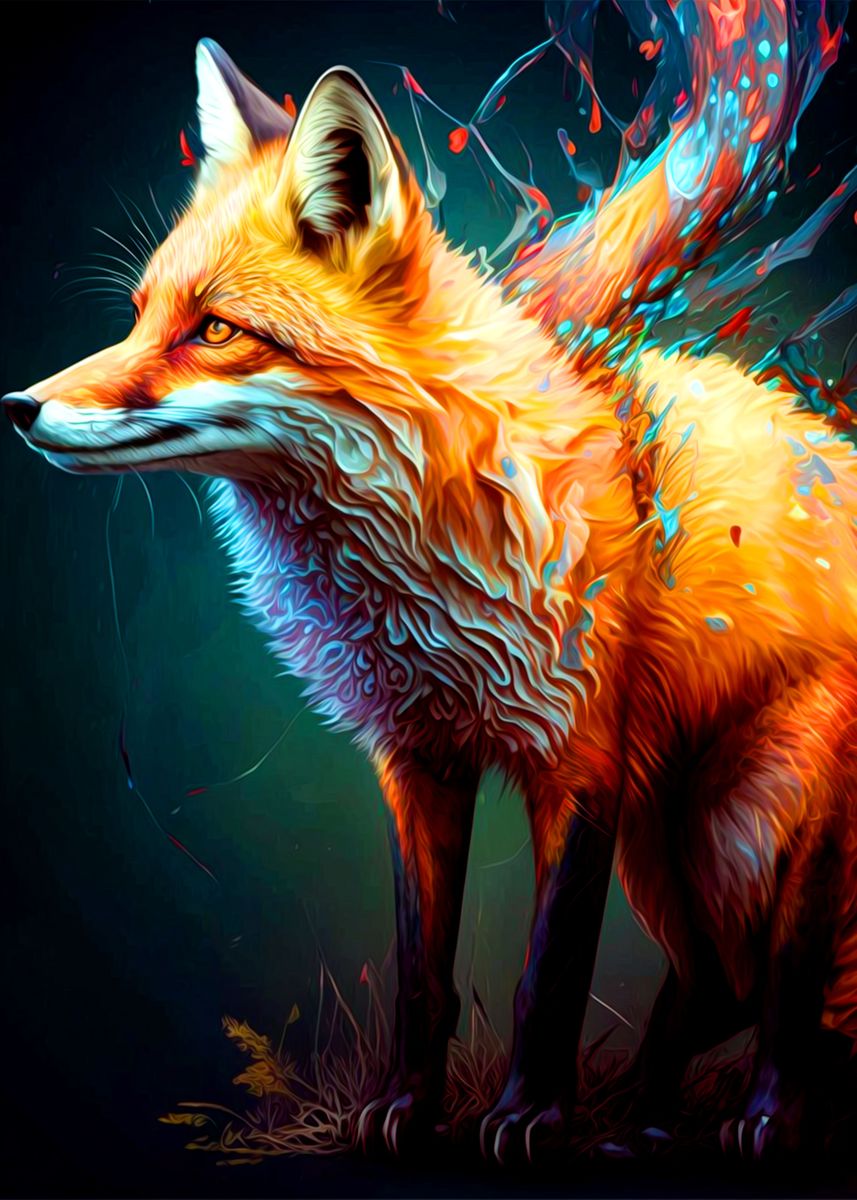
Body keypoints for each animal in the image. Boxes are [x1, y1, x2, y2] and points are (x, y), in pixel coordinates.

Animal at [5, 2, 857, 1164]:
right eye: (137, 315)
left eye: (214, 330)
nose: (18, 408)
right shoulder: (416, 759)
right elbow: (421, 971)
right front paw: (406, 1109)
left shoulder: (581, 761)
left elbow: (549, 972)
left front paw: (529, 1114)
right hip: (673, 843)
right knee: (712, 985)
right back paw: (642, 1114)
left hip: (758, 823)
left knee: (782, 982)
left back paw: (761, 1114)